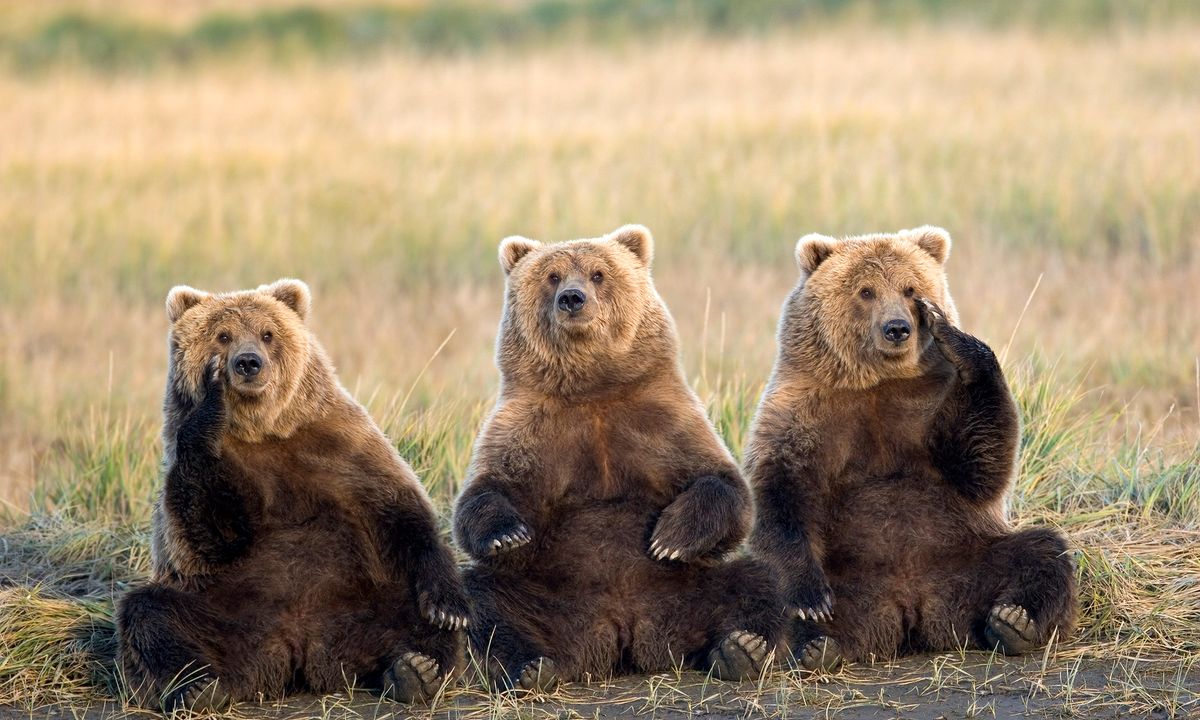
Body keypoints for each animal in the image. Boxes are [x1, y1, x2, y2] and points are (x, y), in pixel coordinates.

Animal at [116, 279, 469, 713]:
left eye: (268, 333)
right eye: (223, 335)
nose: (248, 362)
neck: (262, 430)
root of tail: (297, 651)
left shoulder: (337, 447)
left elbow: (400, 510)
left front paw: (446, 607)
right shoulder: (210, 464)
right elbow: (206, 533)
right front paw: (214, 397)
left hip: (361, 601)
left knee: (408, 615)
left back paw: (414, 670)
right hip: (223, 609)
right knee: (151, 615)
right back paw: (199, 687)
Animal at [453, 225, 784, 691]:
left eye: (598, 273)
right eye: (552, 276)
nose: (572, 298)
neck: (592, 389)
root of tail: (624, 631)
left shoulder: (660, 420)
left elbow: (722, 485)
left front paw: (670, 537)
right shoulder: (528, 428)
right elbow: (487, 492)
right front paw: (507, 534)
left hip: (690, 587)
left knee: (758, 581)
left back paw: (741, 650)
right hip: (549, 596)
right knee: (485, 601)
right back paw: (533, 667)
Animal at [744, 227, 1077, 671]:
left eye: (910, 288)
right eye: (866, 291)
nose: (897, 328)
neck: (877, 382)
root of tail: (910, 606)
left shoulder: (931, 404)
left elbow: (980, 462)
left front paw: (952, 335)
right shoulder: (802, 412)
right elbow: (781, 489)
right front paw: (811, 599)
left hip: (966, 557)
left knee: (1042, 553)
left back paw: (1014, 622)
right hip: (856, 576)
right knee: (759, 587)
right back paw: (805, 645)